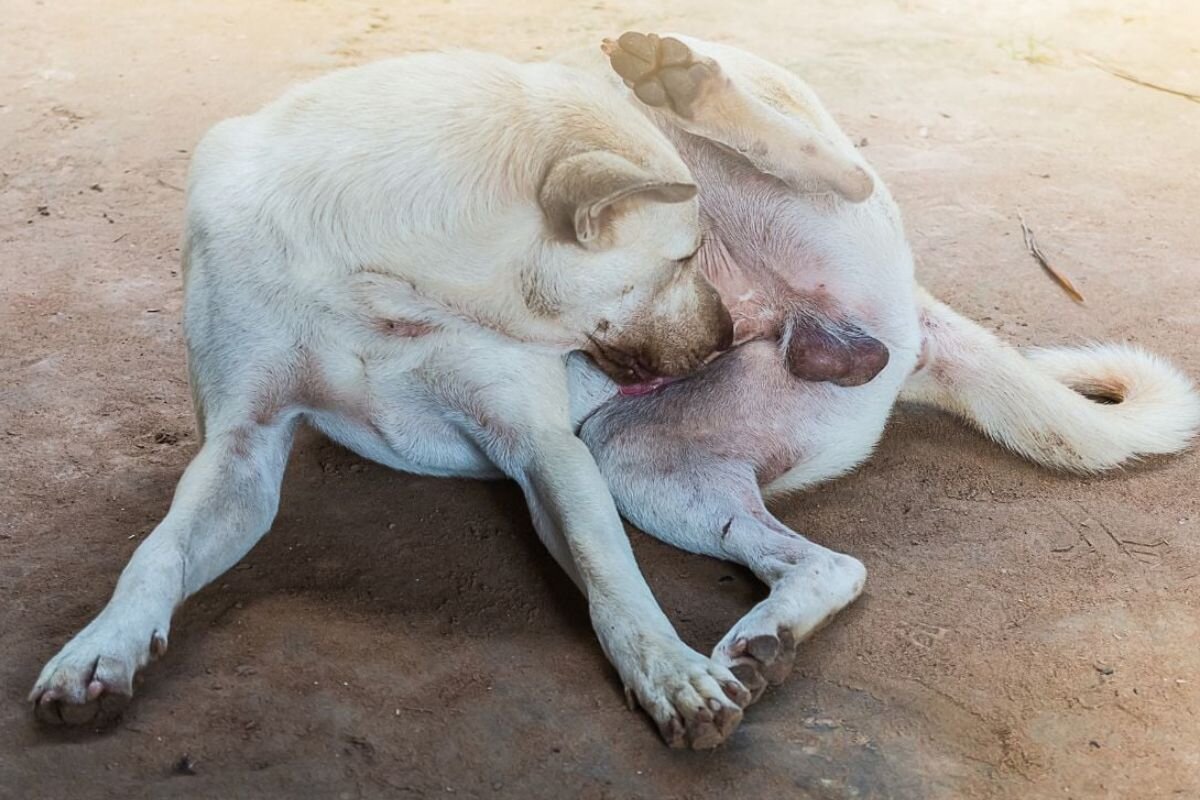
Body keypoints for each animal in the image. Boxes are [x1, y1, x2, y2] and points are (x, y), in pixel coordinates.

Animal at [28, 31, 1200, 753]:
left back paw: (686, 85)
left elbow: (611, 582)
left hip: (739, 228)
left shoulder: (546, 448)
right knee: (832, 563)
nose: (729, 325)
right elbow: (155, 554)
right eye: (681, 260)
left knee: (840, 165)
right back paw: (766, 637)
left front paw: (668, 677)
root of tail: (902, 319)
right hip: (649, 463)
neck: (374, 267)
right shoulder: (239, 449)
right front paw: (100, 650)